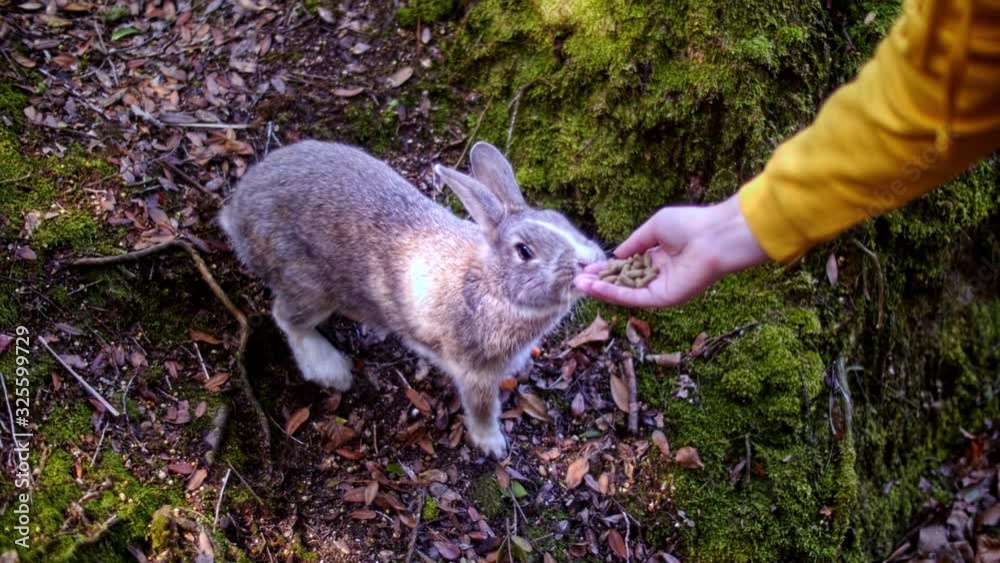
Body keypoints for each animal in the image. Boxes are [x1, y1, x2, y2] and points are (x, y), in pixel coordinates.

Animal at [218, 140, 605, 458]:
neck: (489, 284)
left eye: (560, 219)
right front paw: (492, 444)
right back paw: (331, 370)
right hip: (309, 286)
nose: (593, 261)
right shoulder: (474, 372)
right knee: (287, 318)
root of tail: (236, 214)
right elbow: (482, 409)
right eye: (524, 251)